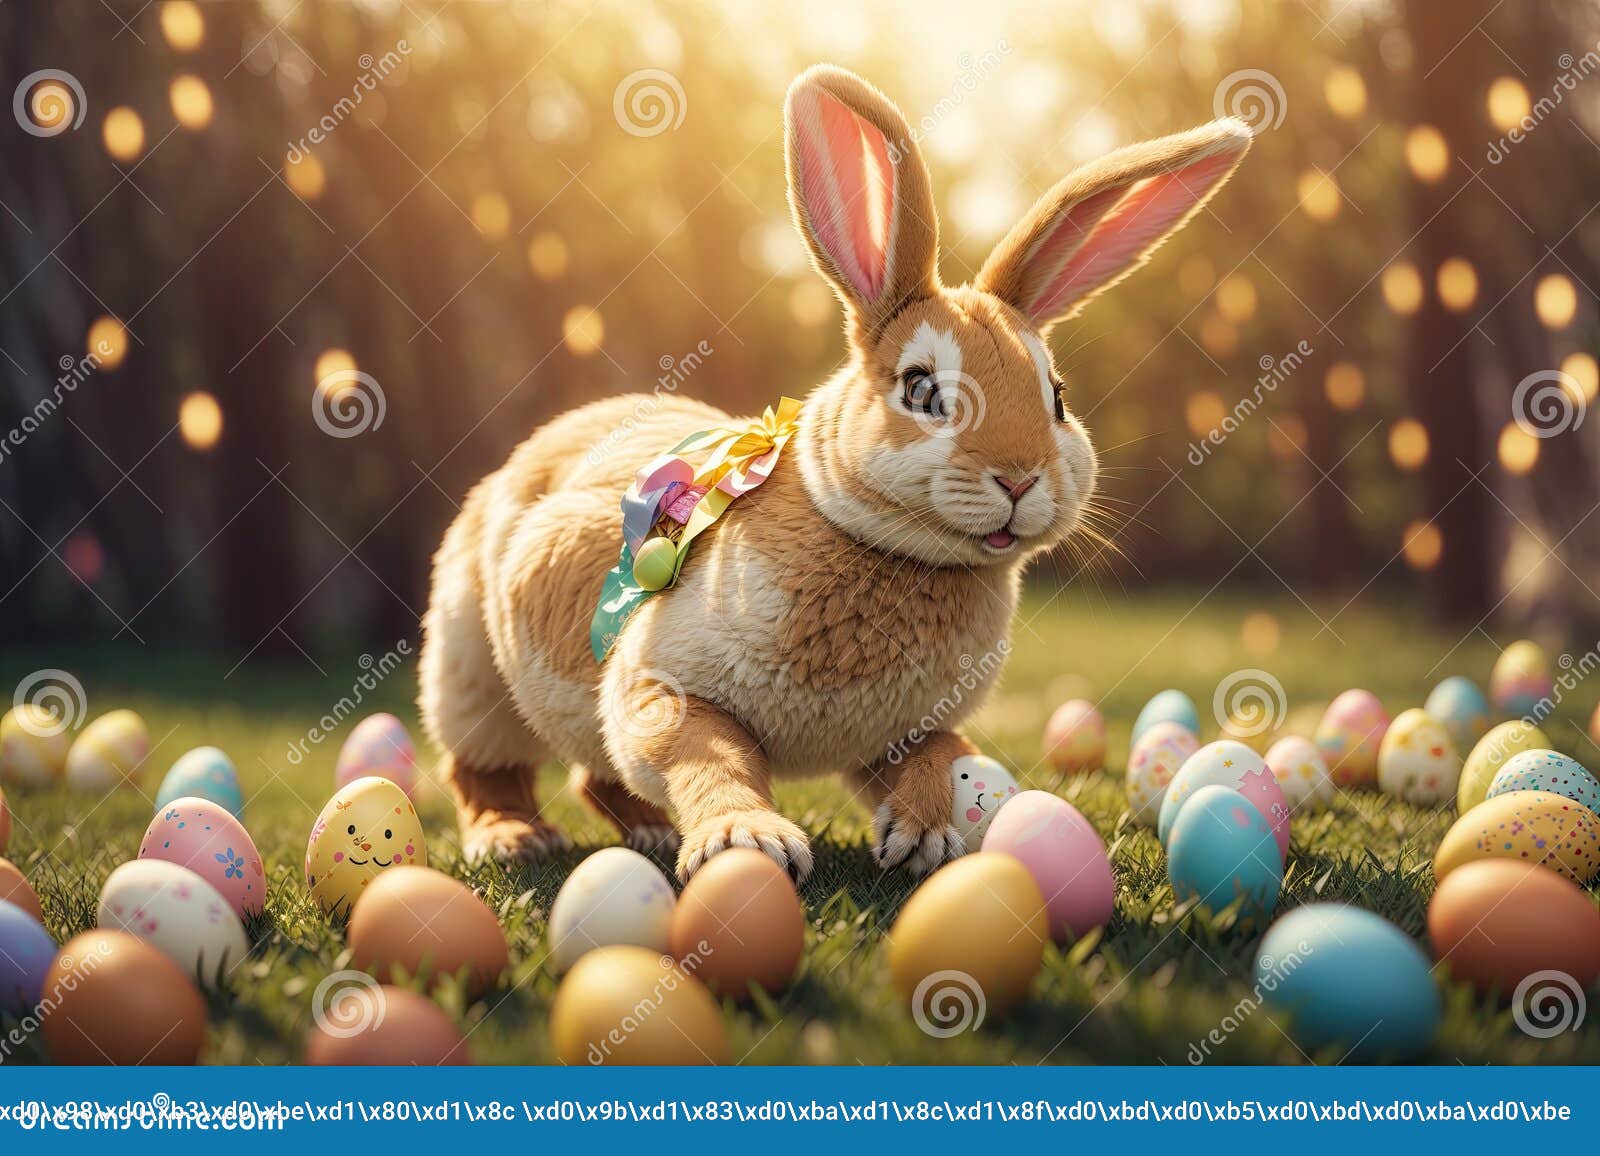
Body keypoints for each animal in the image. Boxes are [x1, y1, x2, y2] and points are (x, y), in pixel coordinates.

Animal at [418, 64, 1250, 882]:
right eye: (921, 390)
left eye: (1058, 398)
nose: (1019, 480)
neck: (886, 547)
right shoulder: (663, 690)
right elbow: (710, 759)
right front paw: (748, 839)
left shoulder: (909, 730)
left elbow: (943, 756)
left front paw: (923, 839)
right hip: (469, 669)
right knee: (489, 767)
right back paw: (515, 839)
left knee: (594, 776)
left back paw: (649, 833)